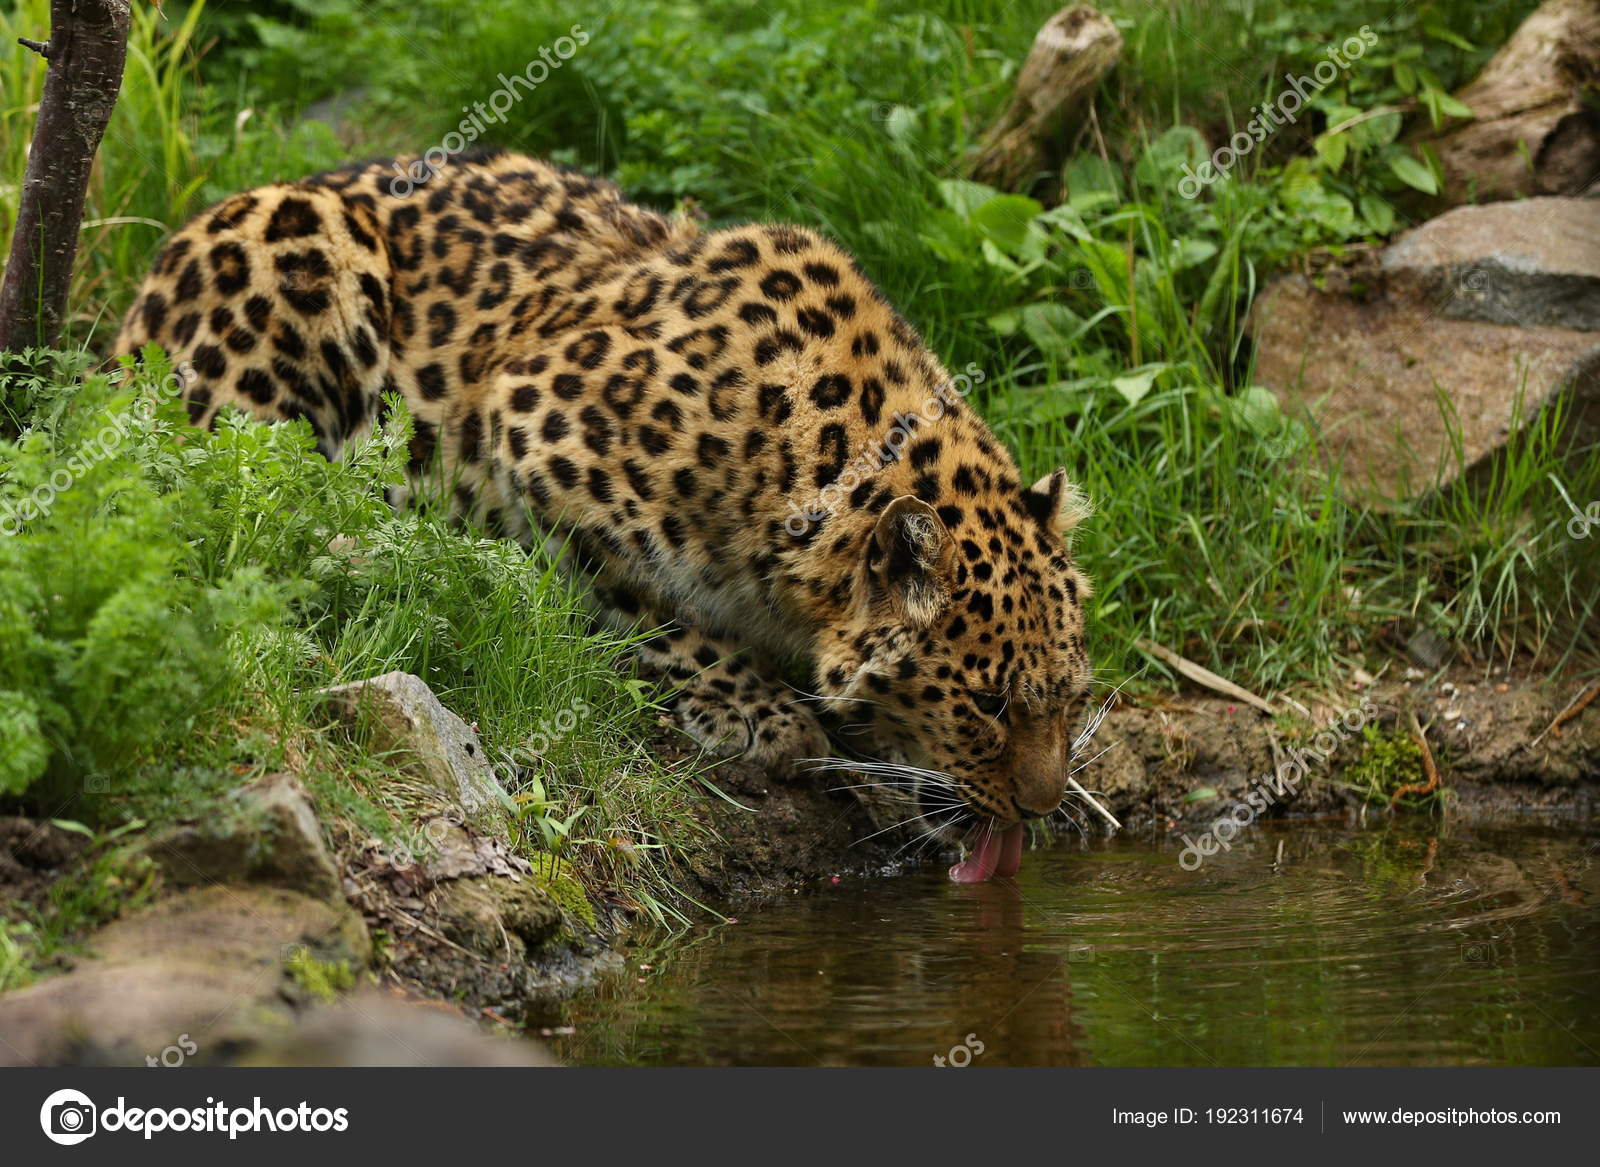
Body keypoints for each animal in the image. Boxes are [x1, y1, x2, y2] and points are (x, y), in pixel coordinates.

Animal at [113, 150, 1096, 881]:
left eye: (1073, 697)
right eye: (987, 704)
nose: (1044, 808)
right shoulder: (527, 425)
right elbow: (644, 603)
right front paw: (760, 712)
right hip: (294, 256)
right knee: (227, 487)